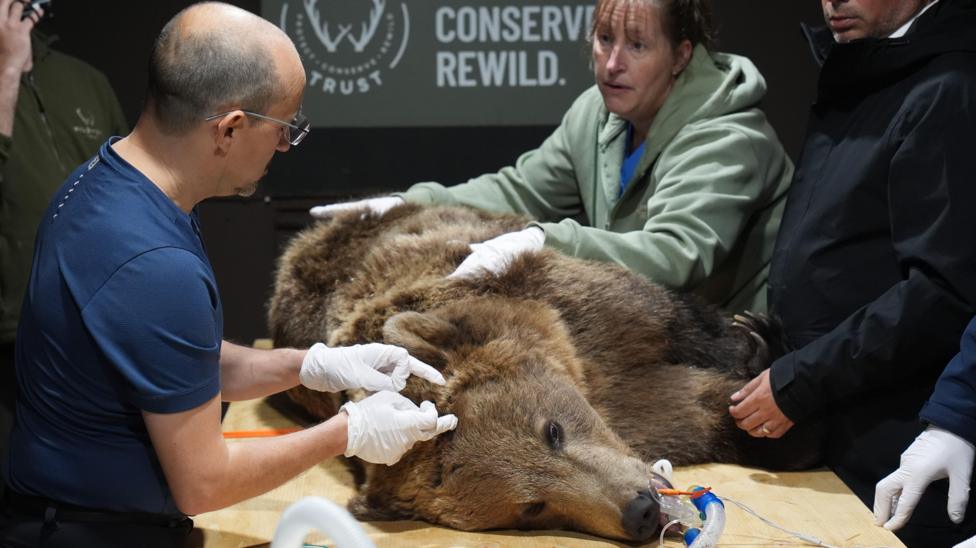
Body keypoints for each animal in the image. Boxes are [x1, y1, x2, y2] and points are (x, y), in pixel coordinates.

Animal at [268, 203, 823, 543]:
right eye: (531, 507)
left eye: (552, 431)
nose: (640, 511)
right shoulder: (640, 411)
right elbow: (698, 412)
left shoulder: (588, 313)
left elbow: (683, 333)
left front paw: (762, 365)